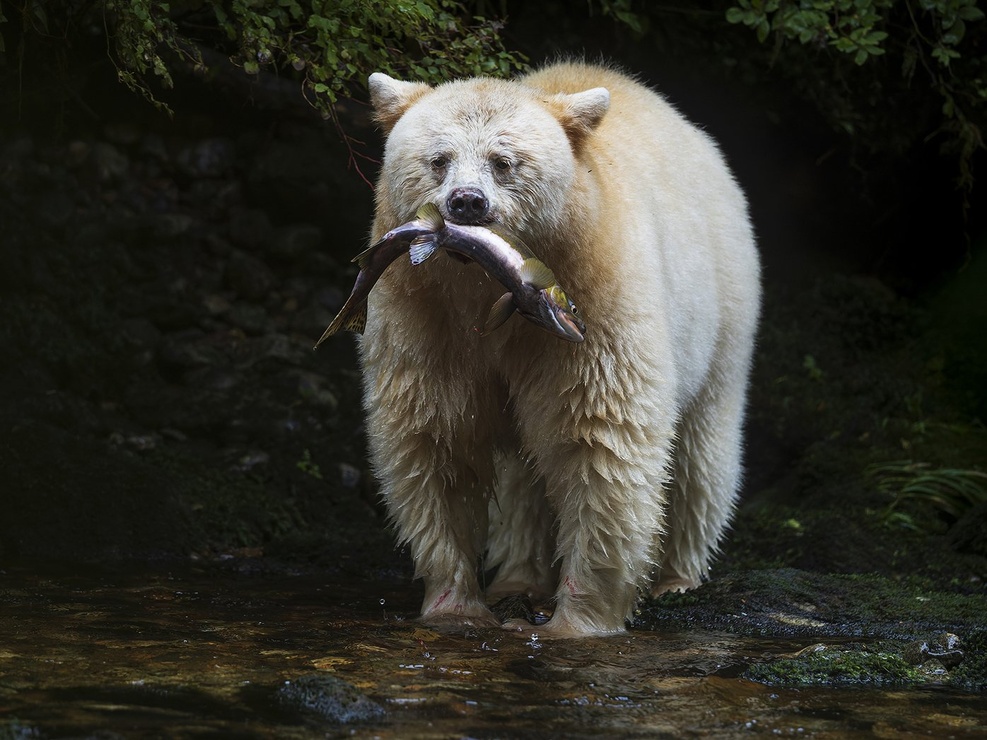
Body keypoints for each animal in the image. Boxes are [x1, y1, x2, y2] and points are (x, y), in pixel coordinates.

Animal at [357, 61, 761, 636]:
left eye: (504, 162)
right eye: (438, 159)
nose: (466, 202)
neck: (481, 284)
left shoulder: (594, 292)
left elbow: (601, 436)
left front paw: (578, 620)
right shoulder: (422, 311)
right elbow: (436, 436)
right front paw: (456, 605)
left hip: (724, 307)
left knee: (702, 455)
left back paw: (678, 576)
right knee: (524, 477)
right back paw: (518, 577)